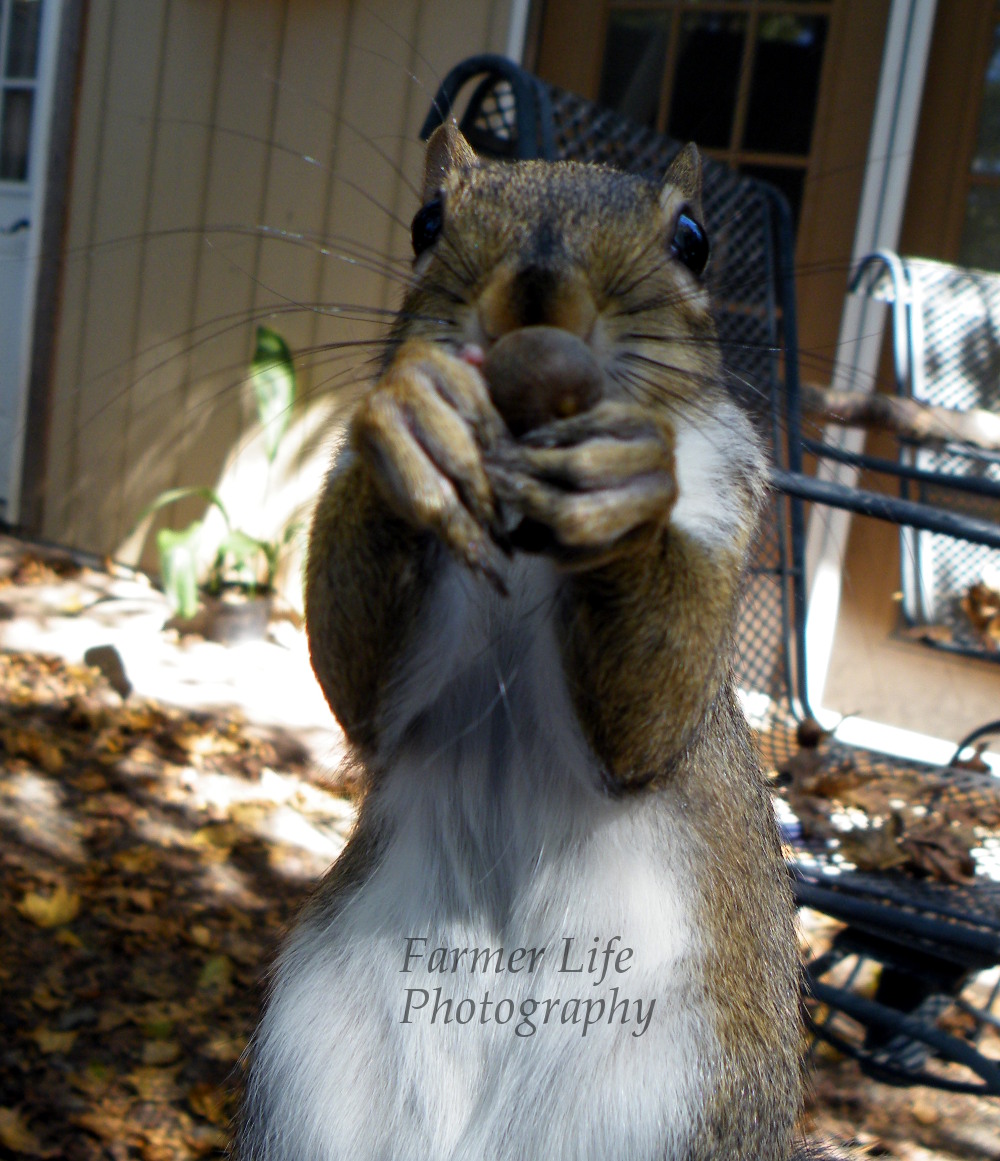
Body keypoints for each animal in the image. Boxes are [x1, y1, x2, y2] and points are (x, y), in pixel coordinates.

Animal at [234, 122, 842, 1161]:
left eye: (693, 240)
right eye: (426, 221)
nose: (537, 304)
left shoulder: (726, 495)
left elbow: (648, 724)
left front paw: (622, 487)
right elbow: (357, 687)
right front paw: (415, 427)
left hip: (690, 1101)